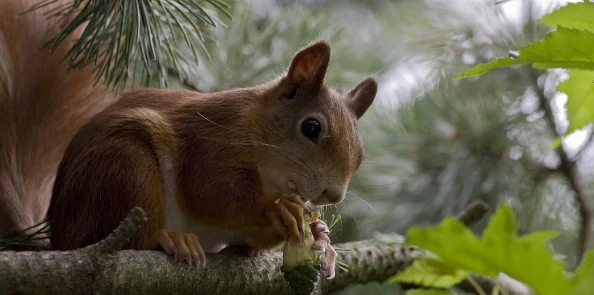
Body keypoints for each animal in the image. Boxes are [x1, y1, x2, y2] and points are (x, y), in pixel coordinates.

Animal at [1, 0, 374, 280]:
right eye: (311, 127)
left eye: (361, 154)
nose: (333, 195)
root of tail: (60, 240)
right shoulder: (210, 143)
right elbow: (210, 193)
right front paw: (278, 208)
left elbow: (252, 238)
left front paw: (321, 235)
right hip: (125, 165)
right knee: (125, 238)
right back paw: (171, 240)